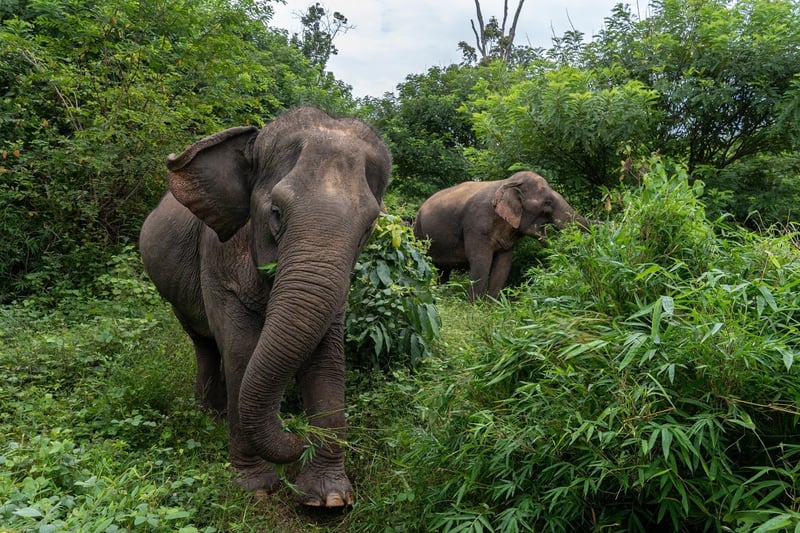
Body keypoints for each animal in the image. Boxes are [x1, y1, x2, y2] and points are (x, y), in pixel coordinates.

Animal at [138, 107, 391, 507]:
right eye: (275, 211)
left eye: (369, 227)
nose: (298, 433)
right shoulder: (218, 257)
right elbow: (241, 350)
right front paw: (256, 488)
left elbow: (328, 354)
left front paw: (330, 500)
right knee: (205, 343)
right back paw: (210, 416)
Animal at [413, 171, 588, 301]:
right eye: (548, 203)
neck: (507, 182)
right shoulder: (476, 225)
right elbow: (481, 261)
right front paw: (473, 307)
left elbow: (503, 266)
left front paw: (491, 306)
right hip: (418, 233)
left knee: (443, 270)